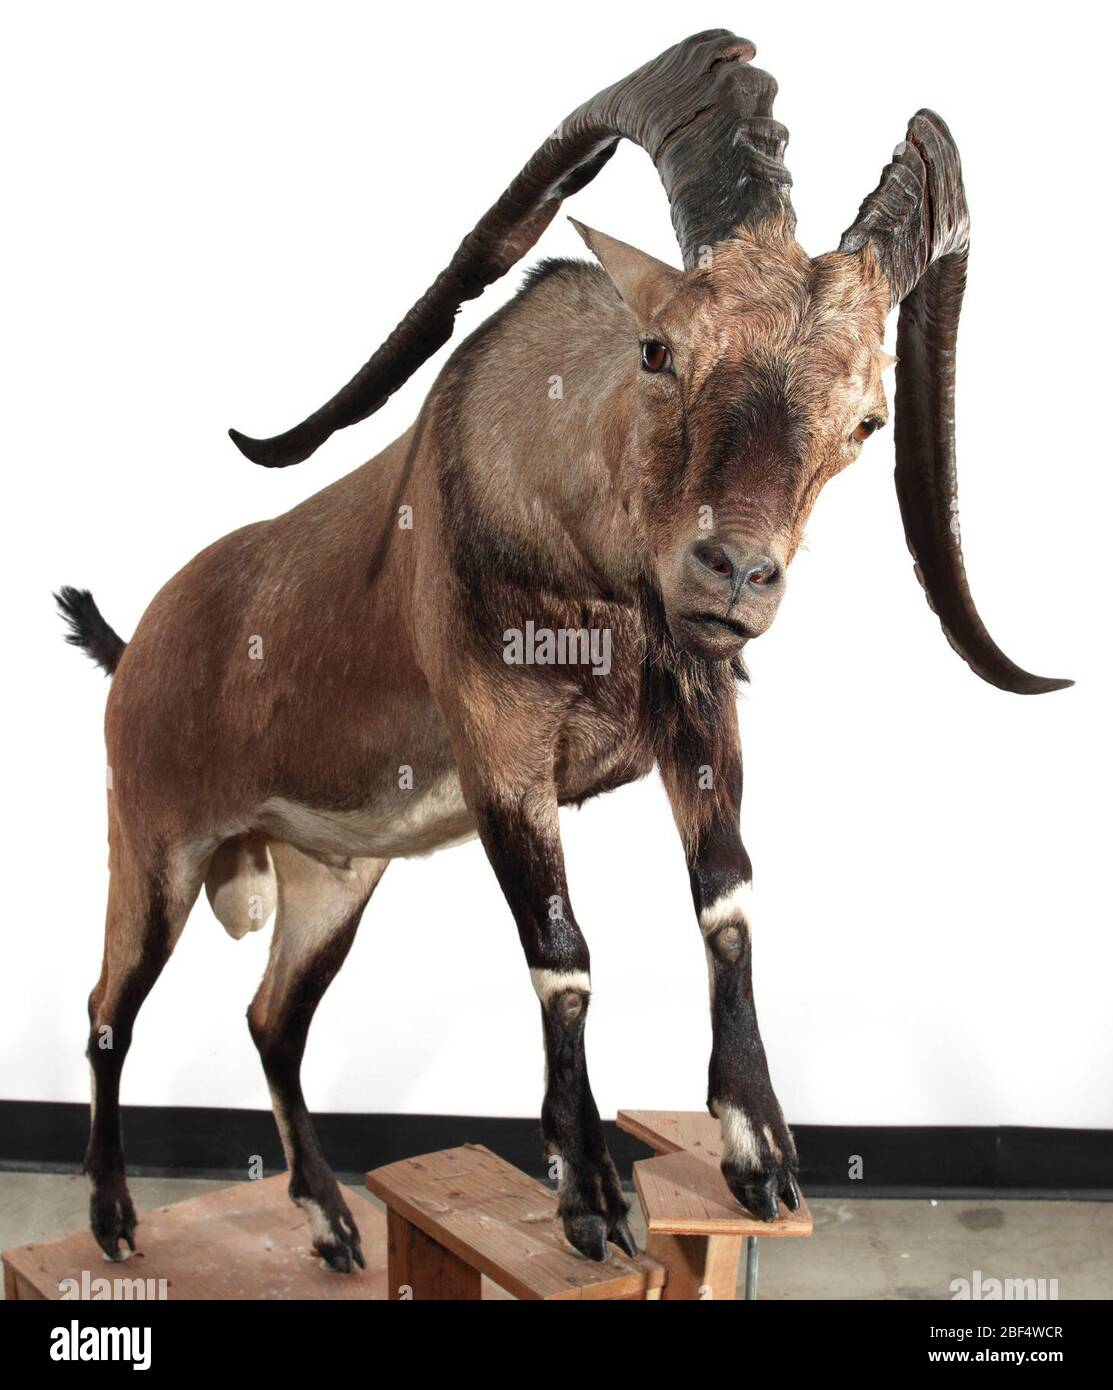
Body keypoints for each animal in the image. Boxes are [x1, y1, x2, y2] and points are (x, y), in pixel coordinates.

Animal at [57, 31, 1070, 1270]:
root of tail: (138, 644)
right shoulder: (502, 754)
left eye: (865, 419)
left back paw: (333, 1221)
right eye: (661, 349)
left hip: (330, 876)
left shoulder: (696, 717)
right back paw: (114, 1217)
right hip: (150, 844)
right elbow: (563, 951)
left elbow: (726, 898)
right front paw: (589, 1191)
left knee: (271, 1017)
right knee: (109, 1009)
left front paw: (760, 1153)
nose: (733, 575)